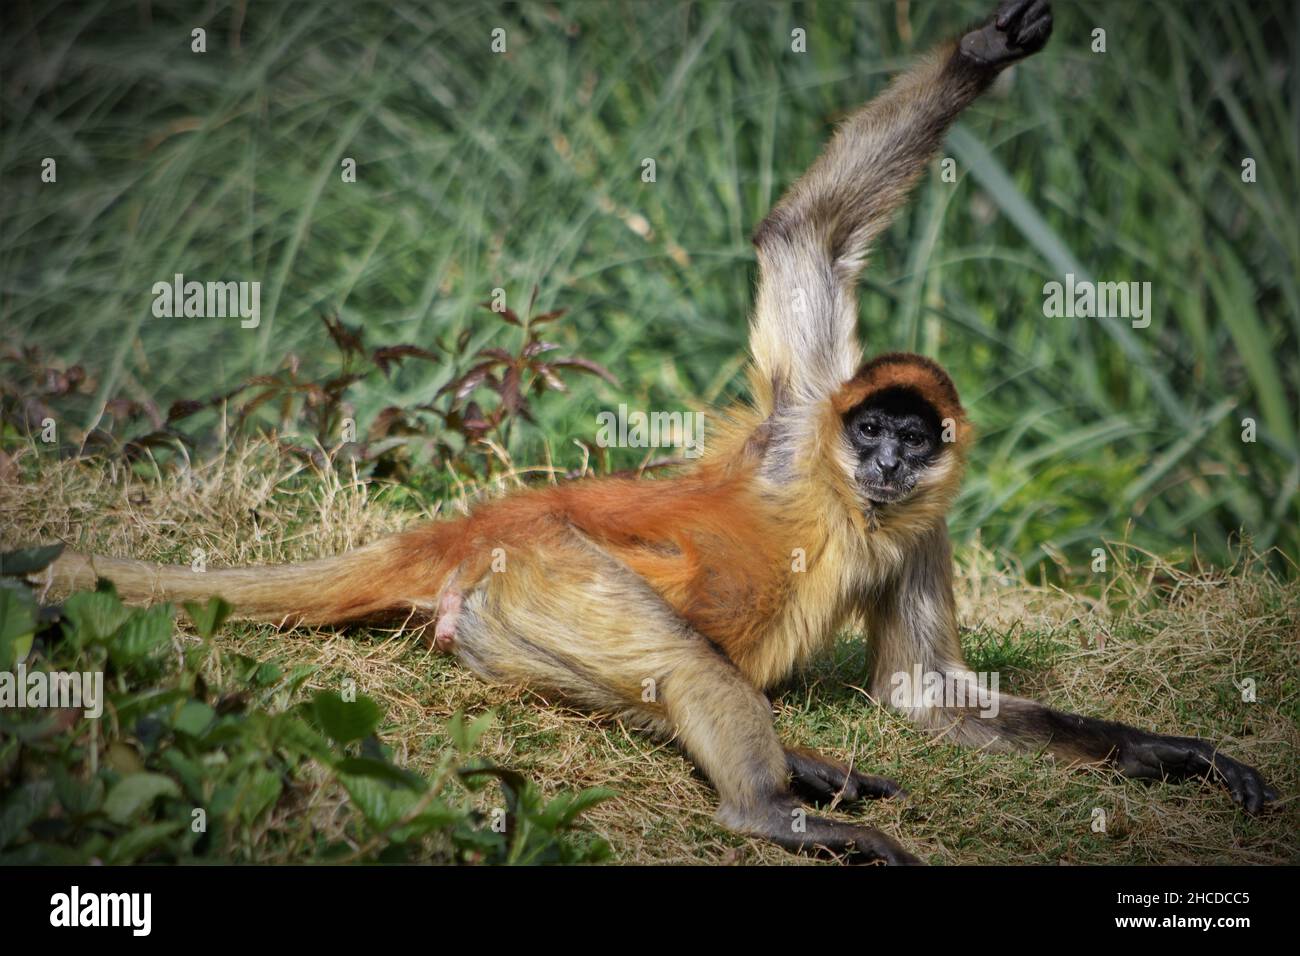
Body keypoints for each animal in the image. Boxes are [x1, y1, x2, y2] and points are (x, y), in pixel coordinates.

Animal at [32, 0, 1276, 863]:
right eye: (871, 427)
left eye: (914, 443)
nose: (884, 457)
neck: (845, 496)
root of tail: (481, 521)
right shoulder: (801, 418)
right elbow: (802, 235)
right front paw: (984, 47)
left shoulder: (921, 522)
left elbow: (922, 699)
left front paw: (1178, 754)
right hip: (552, 564)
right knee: (678, 655)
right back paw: (768, 806)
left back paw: (802, 768)